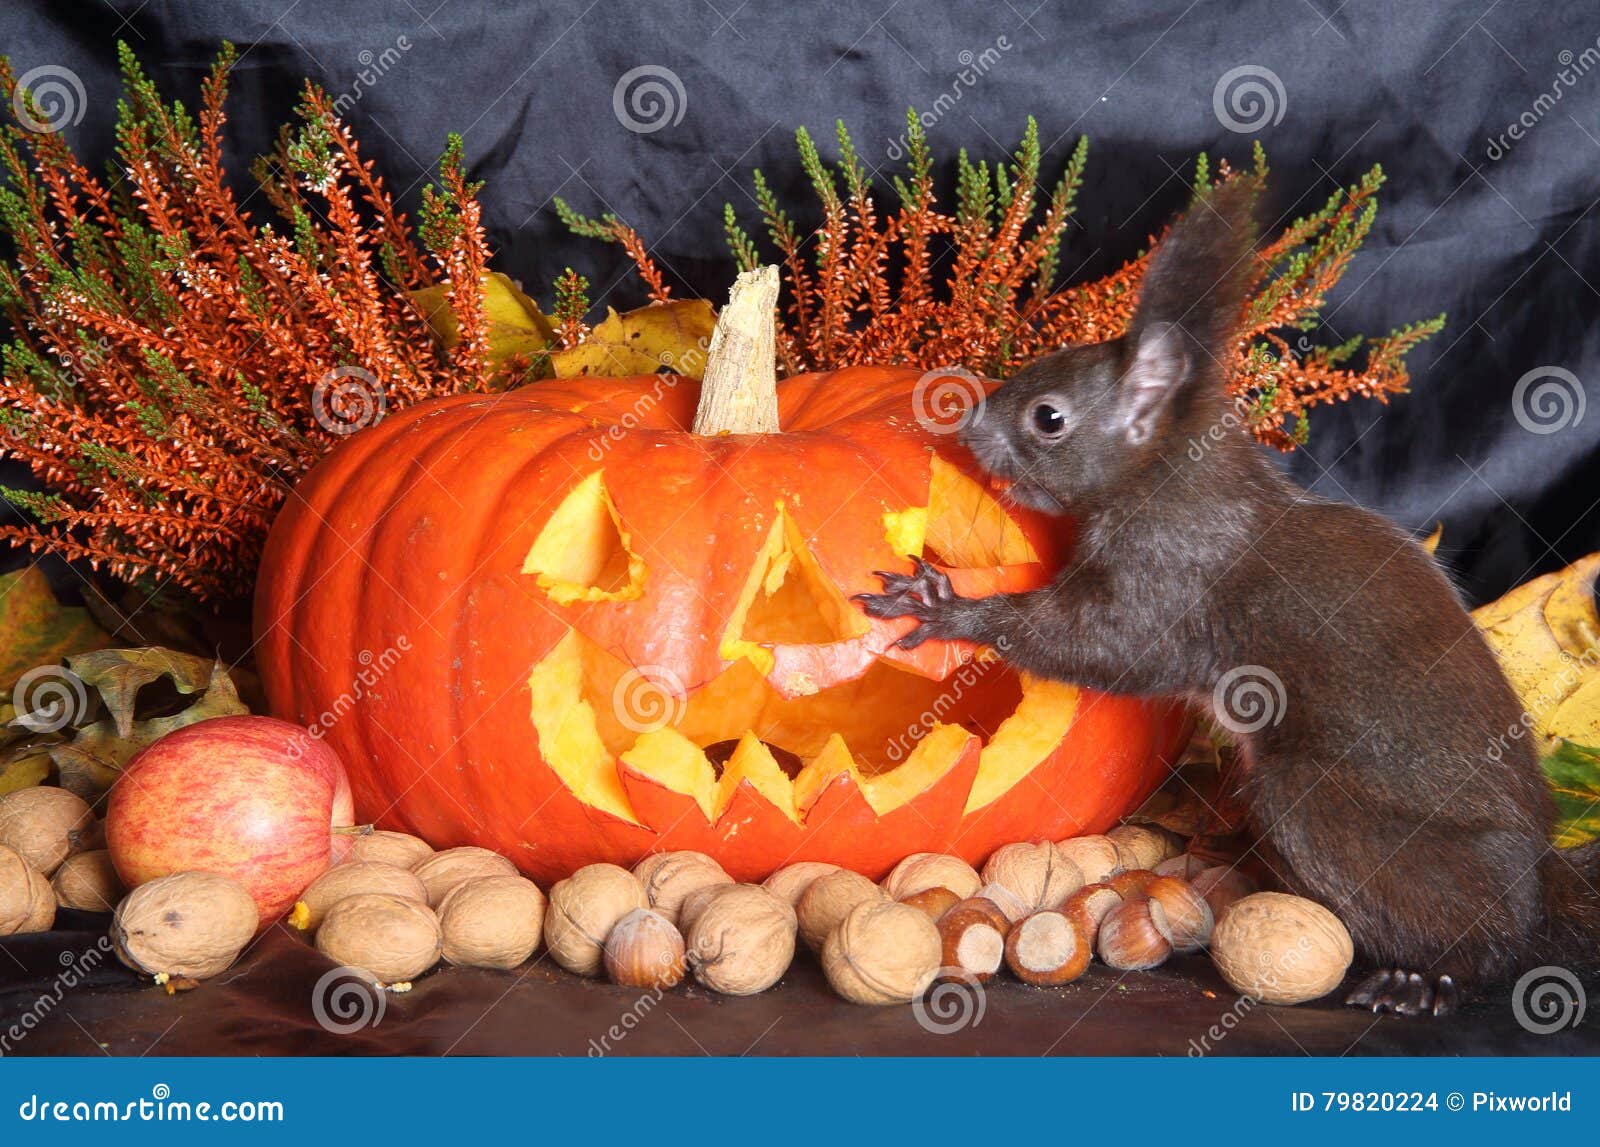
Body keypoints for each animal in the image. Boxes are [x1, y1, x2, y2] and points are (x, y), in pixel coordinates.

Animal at [855, 181, 1600, 1016]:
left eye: (1047, 416)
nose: (966, 423)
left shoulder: (1169, 576)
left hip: (1317, 807)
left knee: (1489, 938)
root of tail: (1540, 874)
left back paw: (1427, 977)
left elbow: (1099, 644)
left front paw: (945, 605)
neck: (1170, 467)